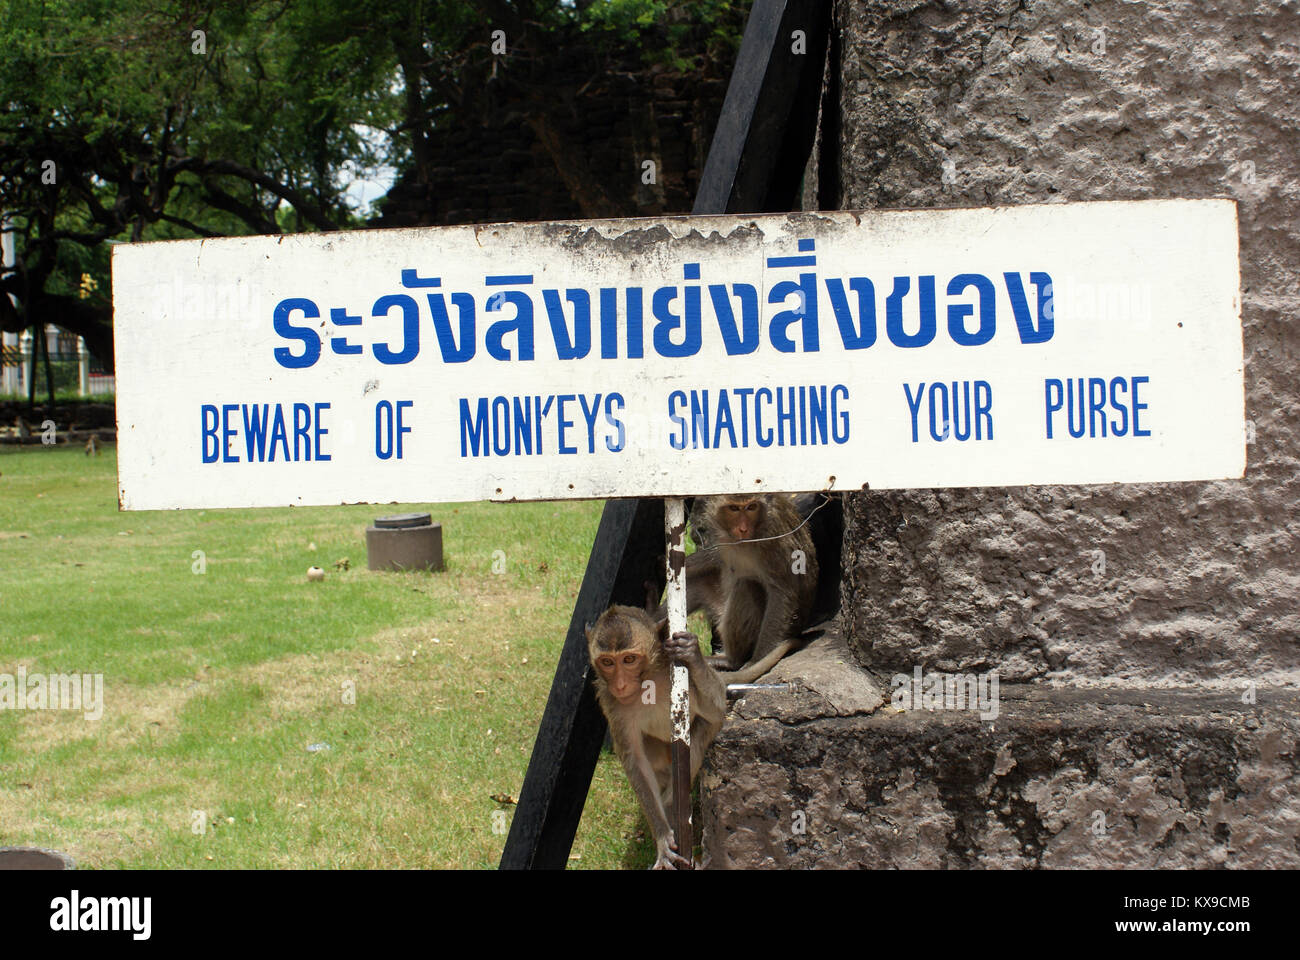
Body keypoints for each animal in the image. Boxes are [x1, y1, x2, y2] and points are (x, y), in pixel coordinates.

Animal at [586, 604, 726, 870]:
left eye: (629, 659)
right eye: (607, 662)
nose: (620, 685)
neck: (645, 681)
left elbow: (716, 710)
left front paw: (693, 654)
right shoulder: (611, 702)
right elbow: (635, 760)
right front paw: (662, 838)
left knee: (703, 729)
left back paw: (672, 805)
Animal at [695, 493, 819, 684]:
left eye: (751, 507)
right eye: (734, 508)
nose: (743, 529)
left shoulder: (773, 538)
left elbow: (782, 592)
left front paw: (756, 662)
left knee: (747, 585)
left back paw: (732, 661)